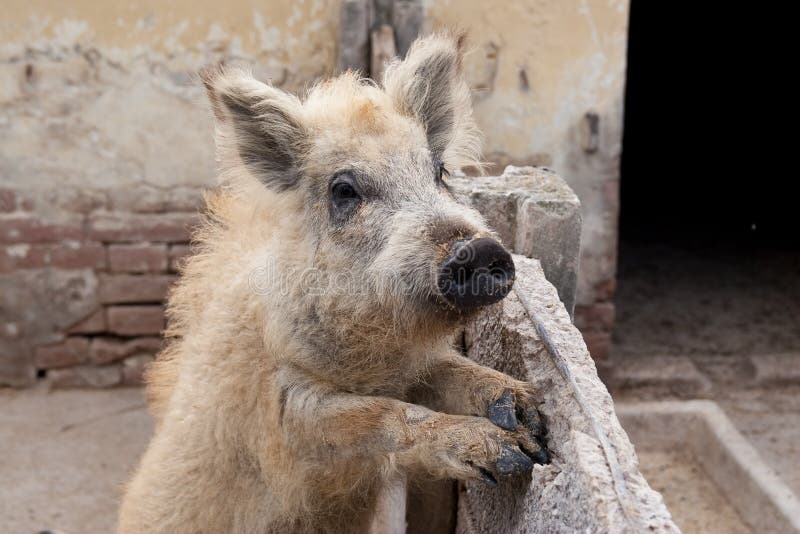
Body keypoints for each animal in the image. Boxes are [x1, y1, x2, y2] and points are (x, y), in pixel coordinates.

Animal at [118, 32, 548, 534]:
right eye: (344, 190)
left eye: (438, 172)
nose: (477, 251)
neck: (370, 360)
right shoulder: (281, 414)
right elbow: (377, 415)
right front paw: (512, 454)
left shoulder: (413, 367)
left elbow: (454, 370)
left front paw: (531, 420)